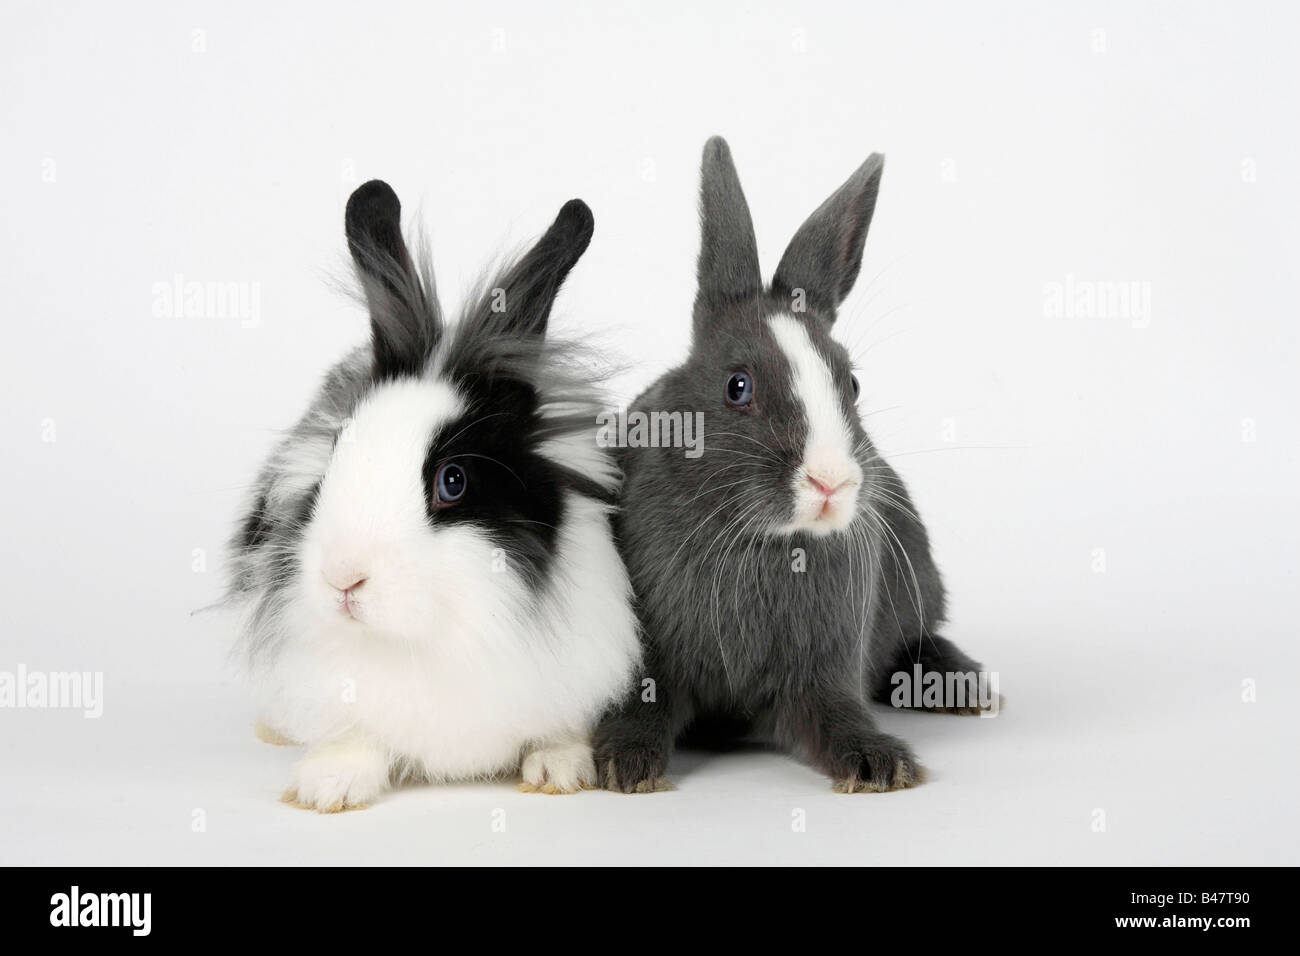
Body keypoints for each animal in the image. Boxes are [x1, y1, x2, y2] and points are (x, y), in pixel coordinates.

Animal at [226, 180, 641, 811]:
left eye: (452, 481)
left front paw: (560, 769)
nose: (343, 580)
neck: (438, 634)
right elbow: (356, 734)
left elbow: (560, 728)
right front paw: (327, 786)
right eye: (336, 451)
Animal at [593, 137, 991, 794]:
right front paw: (622, 766)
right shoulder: (647, 652)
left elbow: (835, 711)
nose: (830, 481)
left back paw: (964, 685)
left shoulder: (826, 666)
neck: (765, 542)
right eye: (737, 387)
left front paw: (880, 765)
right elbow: (643, 701)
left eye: (852, 384)